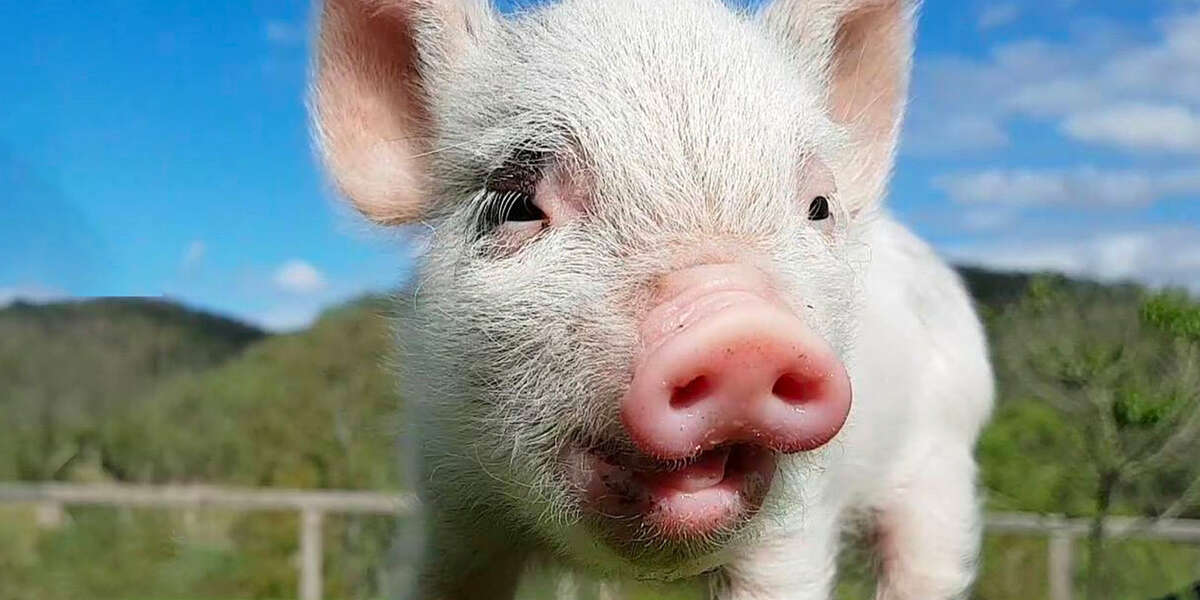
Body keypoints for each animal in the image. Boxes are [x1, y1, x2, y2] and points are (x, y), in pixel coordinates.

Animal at [310, 0, 994, 598]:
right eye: (517, 206)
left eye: (818, 207)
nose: (741, 332)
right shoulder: (449, 502)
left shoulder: (794, 527)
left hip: (943, 467)